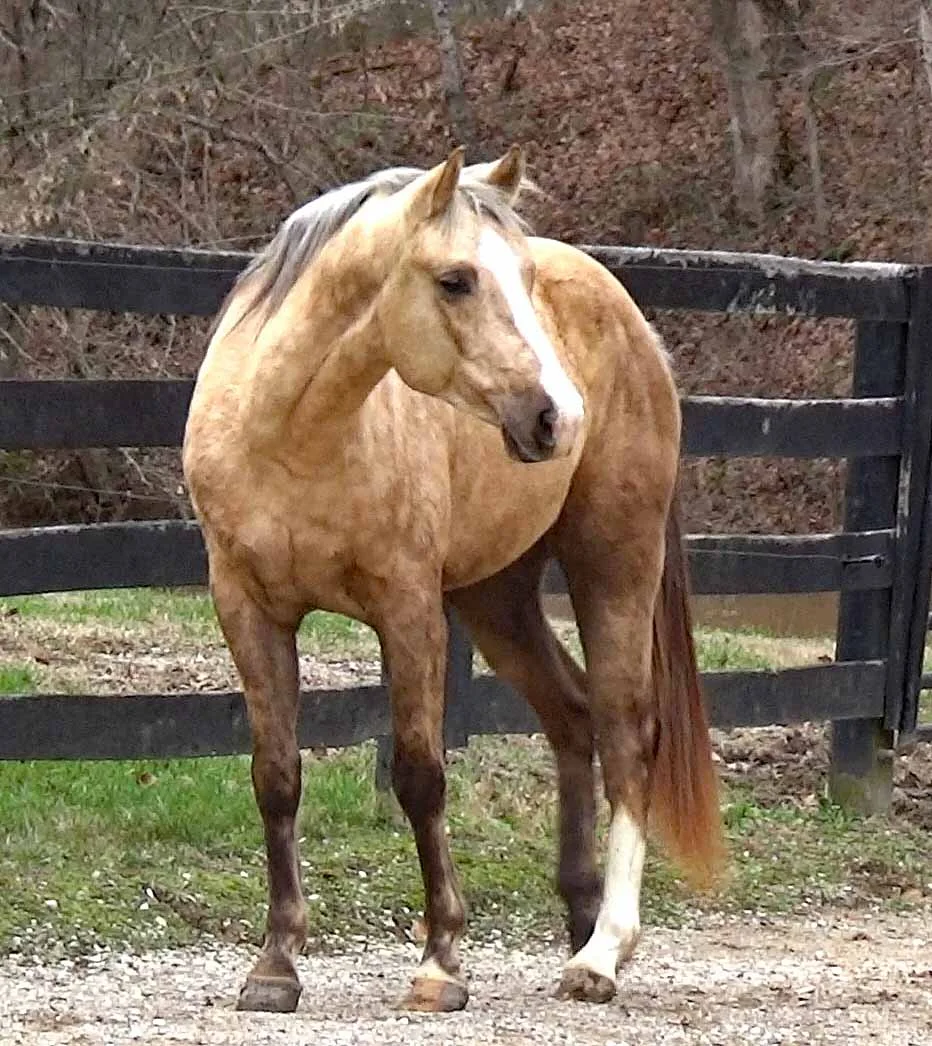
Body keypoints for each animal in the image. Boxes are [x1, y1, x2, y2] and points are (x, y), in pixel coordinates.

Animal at [182, 146, 723, 1013]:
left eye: (523, 277)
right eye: (456, 279)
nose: (558, 418)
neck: (295, 436)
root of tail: (635, 325)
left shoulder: (408, 611)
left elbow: (420, 776)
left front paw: (440, 962)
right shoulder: (248, 611)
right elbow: (276, 777)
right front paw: (275, 966)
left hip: (614, 563)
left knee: (625, 734)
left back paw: (603, 954)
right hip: (498, 598)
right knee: (571, 718)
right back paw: (579, 916)